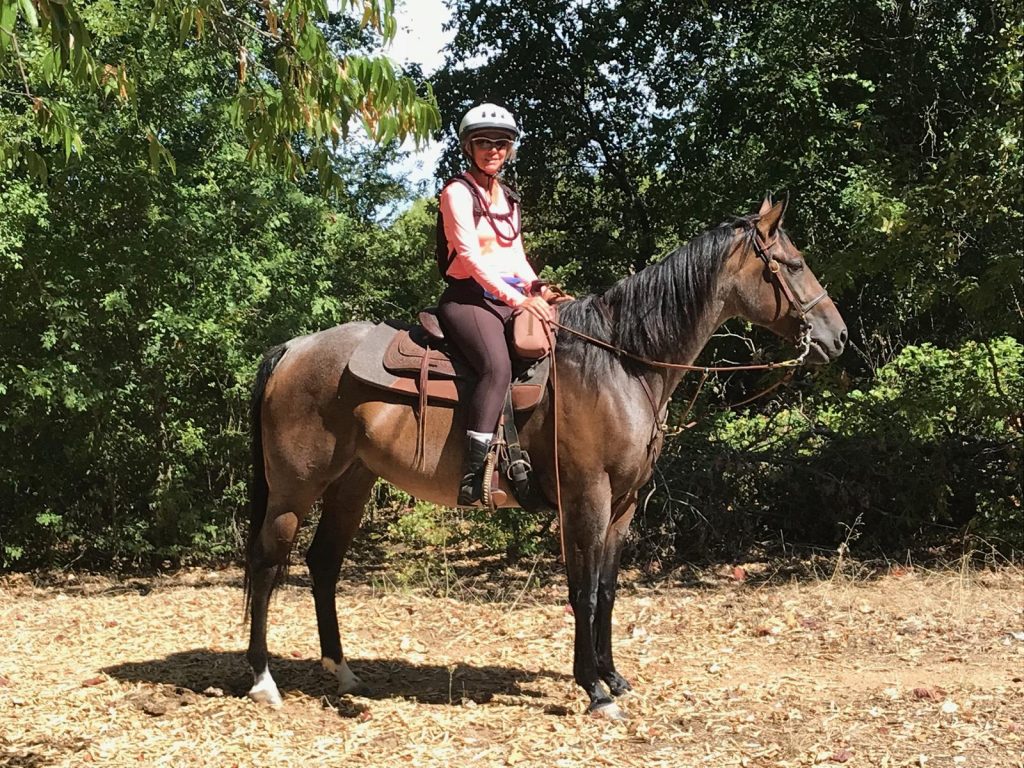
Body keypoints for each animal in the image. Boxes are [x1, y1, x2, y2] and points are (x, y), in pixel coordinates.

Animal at [243, 197, 847, 719]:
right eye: (793, 264)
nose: (838, 336)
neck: (620, 364)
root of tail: (291, 349)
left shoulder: (623, 506)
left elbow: (607, 589)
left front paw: (612, 676)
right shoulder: (587, 499)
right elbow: (582, 589)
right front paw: (594, 689)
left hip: (352, 484)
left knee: (323, 564)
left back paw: (343, 673)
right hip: (295, 489)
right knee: (268, 564)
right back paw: (263, 680)